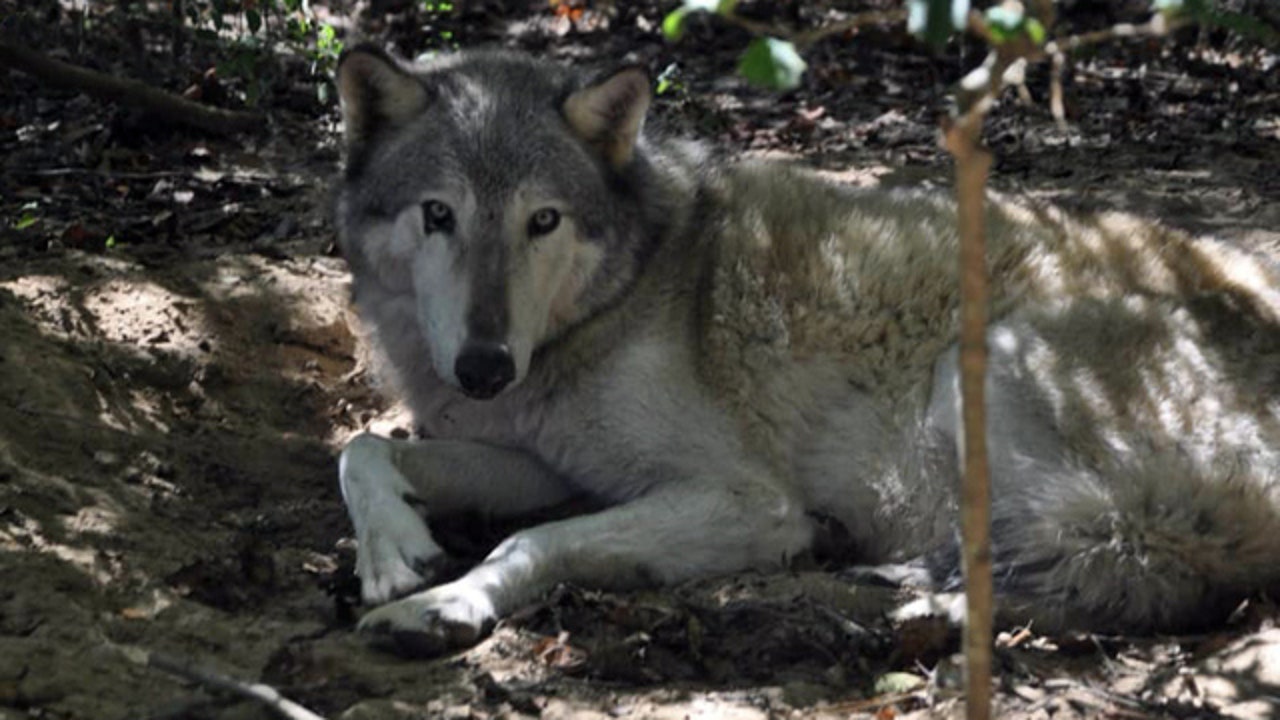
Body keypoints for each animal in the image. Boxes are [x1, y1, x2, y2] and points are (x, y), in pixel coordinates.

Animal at [331, 45, 1280, 657]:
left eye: (543, 221)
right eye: (439, 214)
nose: (484, 368)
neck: (634, 282)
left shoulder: (747, 501)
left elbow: (527, 543)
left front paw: (445, 603)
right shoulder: (546, 463)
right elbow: (364, 448)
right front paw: (395, 552)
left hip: (986, 363)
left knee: (1147, 568)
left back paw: (918, 601)